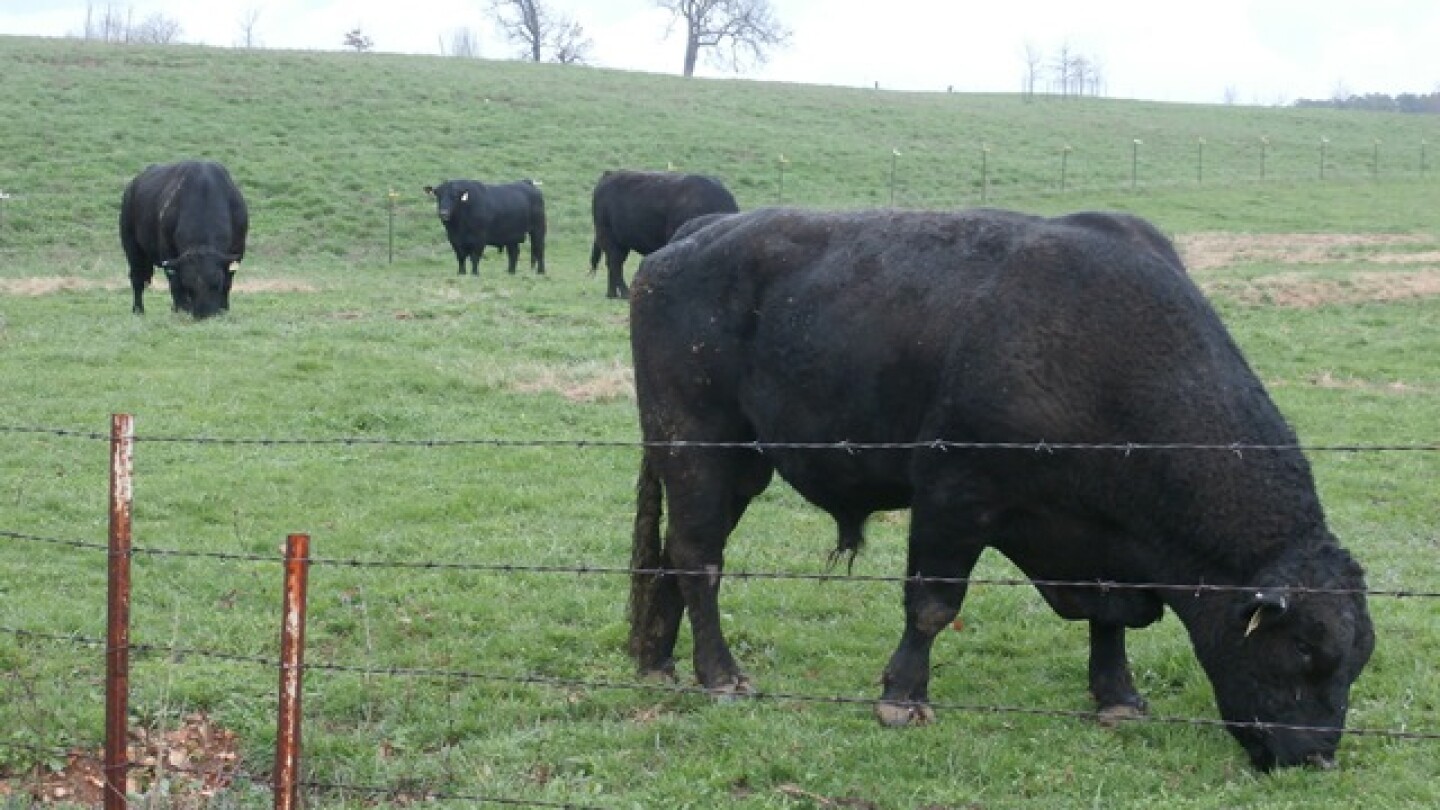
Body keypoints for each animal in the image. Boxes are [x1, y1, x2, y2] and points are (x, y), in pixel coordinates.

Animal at [119, 160, 248, 318]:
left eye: (216, 283)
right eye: (188, 285)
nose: (204, 314)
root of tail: (132, 186)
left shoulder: (238, 250)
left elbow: (228, 282)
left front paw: (223, 308)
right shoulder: (168, 252)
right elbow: (175, 284)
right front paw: (182, 309)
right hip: (132, 246)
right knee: (137, 278)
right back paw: (138, 310)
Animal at [589, 170, 739, 299]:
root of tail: (609, 174)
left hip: (620, 242)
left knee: (612, 264)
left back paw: (612, 294)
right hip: (609, 237)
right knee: (615, 263)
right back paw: (624, 293)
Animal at [627, 207, 1375, 771]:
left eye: (1356, 660)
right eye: (1305, 651)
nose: (1316, 758)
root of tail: (695, 233)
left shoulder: (1099, 544)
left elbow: (1109, 618)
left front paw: (1118, 696)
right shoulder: (954, 496)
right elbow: (932, 604)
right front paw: (903, 697)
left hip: (733, 467)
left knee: (674, 554)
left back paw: (662, 663)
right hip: (699, 449)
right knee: (698, 558)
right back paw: (721, 676)